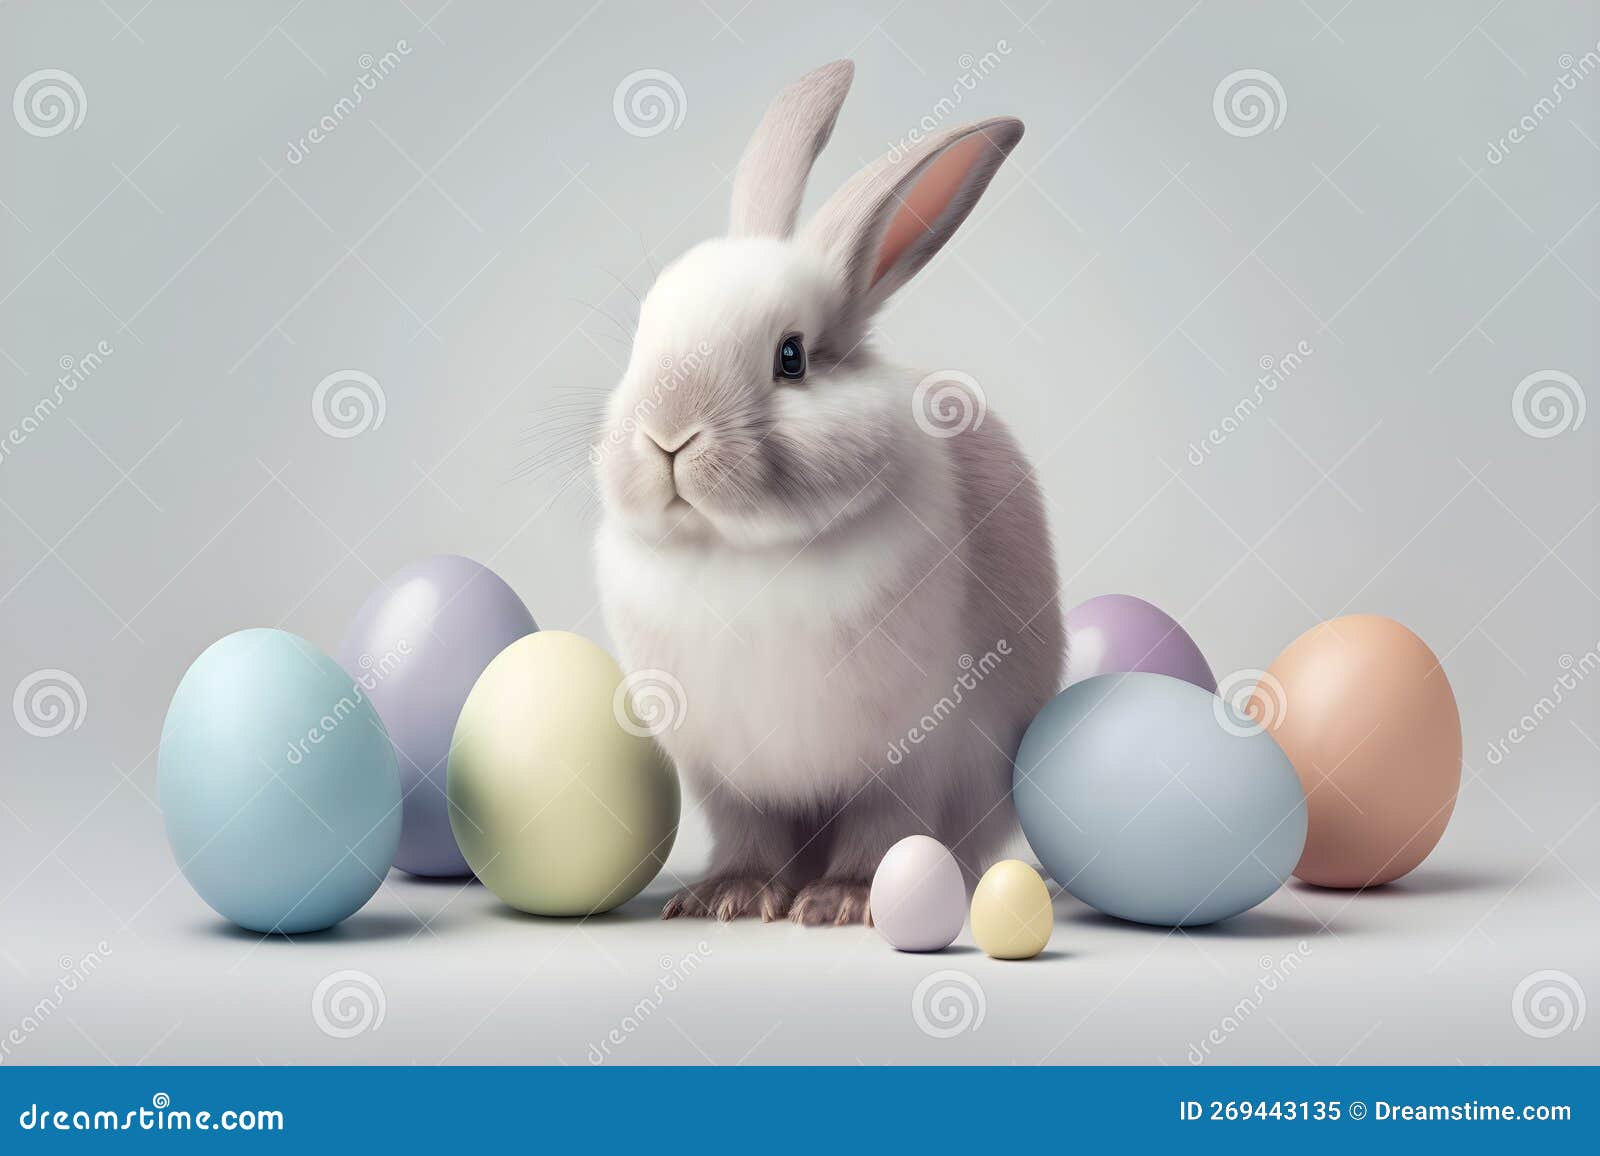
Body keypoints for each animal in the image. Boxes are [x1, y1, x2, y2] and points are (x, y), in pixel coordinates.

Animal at [594, 60, 1063, 925]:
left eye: (791, 357)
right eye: (642, 336)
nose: (668, 435)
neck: (742, 554)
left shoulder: (910, 755)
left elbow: (885, 826)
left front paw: (844, 902)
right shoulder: (726, 774)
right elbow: (748, 833)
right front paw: (729, 896)